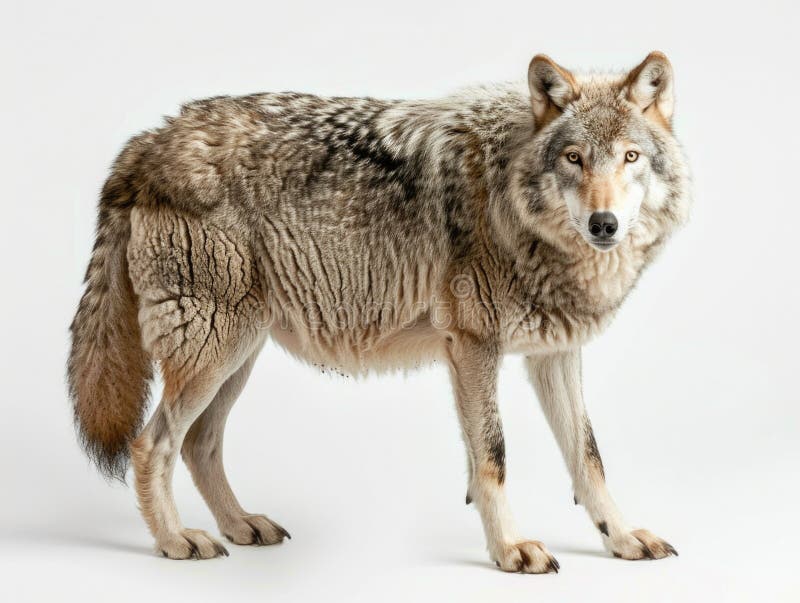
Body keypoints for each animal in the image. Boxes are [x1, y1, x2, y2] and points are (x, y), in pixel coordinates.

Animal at [68, 51, 689, 571]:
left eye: (630, 157)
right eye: (574, 158)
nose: (604, 225)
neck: (509, 197)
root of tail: (150, 140)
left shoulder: (555, 353)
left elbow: (588, 458)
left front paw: (620, 538)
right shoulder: (473, 347)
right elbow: (493, 458)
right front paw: (510, 548)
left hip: (236, 355)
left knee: (199, 444)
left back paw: (241, 525)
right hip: (214, 351)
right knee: (152, 444)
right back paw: (176, 540)